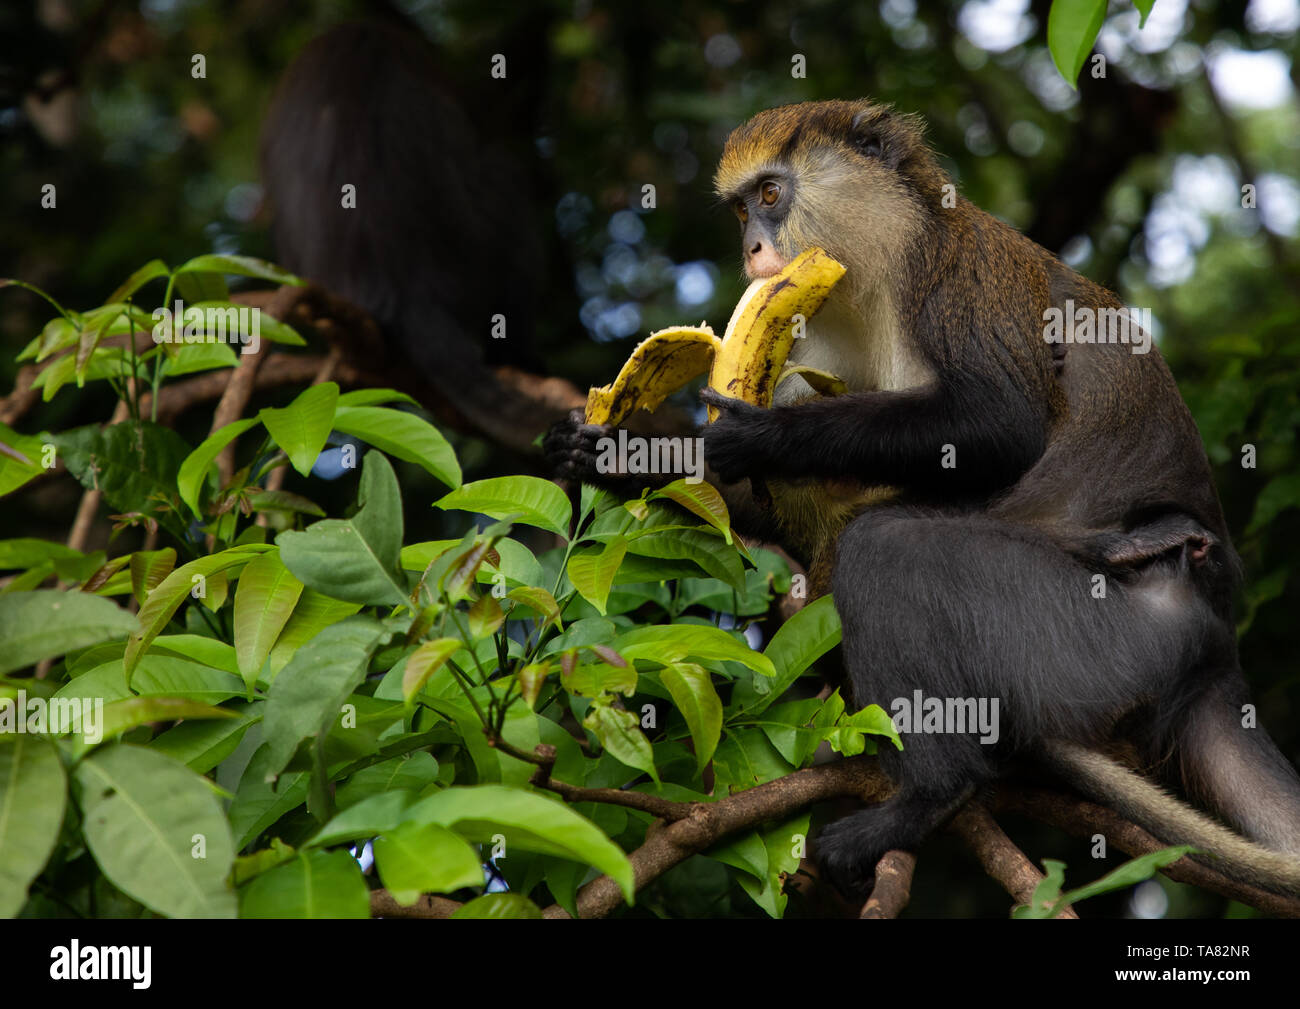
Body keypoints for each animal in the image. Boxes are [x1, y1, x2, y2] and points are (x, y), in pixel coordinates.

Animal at [546, 99, 1300, 900]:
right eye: (742, 209)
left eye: (772, 195)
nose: (752, 247)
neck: (879, 262)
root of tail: (1215, 644)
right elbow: (767, 506)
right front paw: (614, 454)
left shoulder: (951, 276)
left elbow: (1000, 426)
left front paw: (763, 437)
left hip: (1106, 631)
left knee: (888, 547)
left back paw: (930, 795)